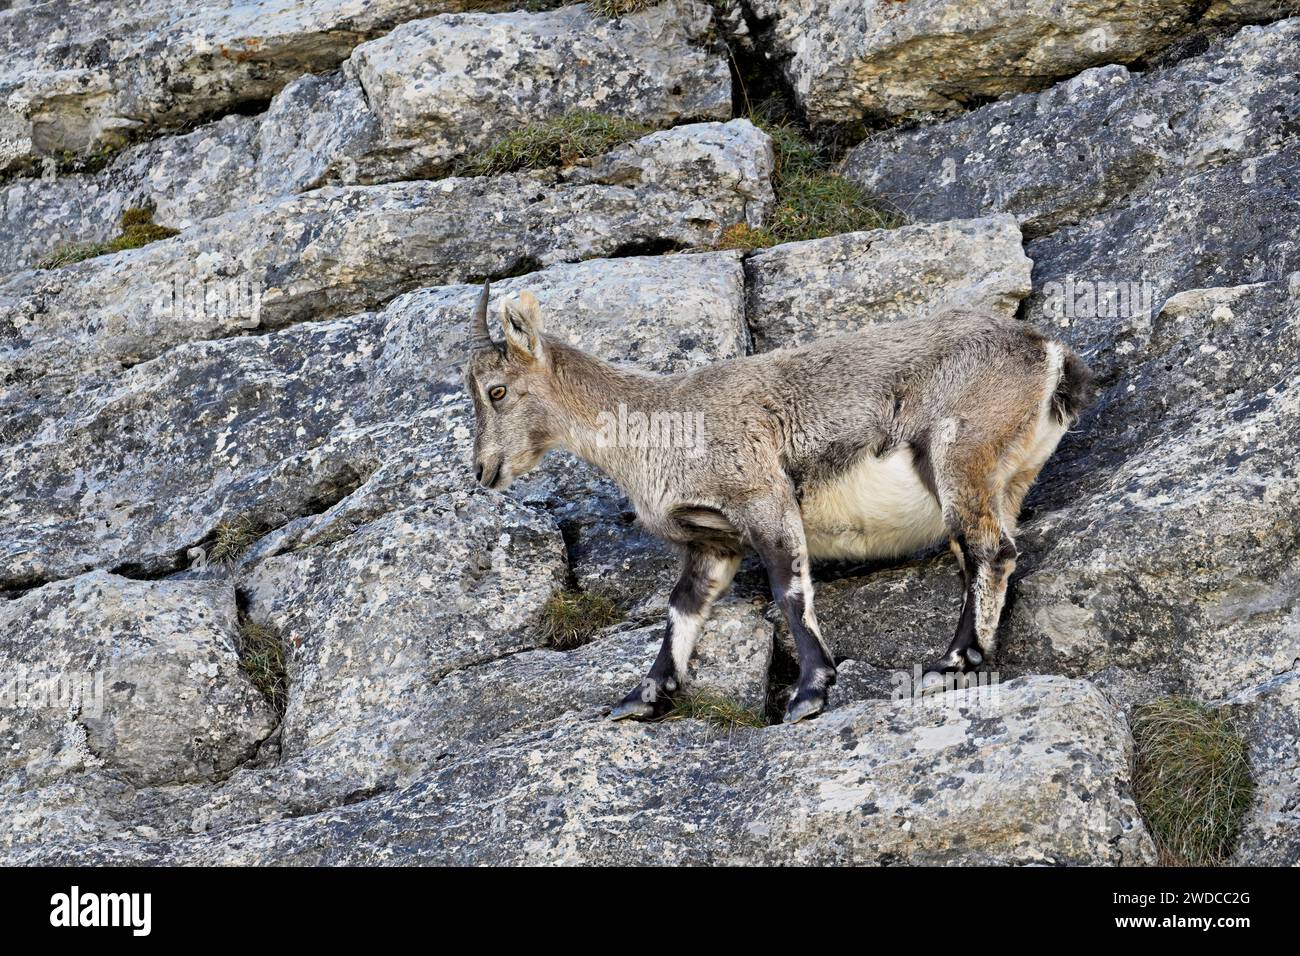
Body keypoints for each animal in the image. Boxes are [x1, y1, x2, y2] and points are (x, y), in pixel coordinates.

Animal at [463, 281, 1092, 723]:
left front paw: (810, 691)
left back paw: (954, 661)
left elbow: (789, 588)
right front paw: (642, 697)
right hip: (1005, 479)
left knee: (991, 551)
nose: (482, 471)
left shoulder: (763, 497)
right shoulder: (714, 542)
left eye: (497, 391)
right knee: (989, 552)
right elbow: (681, 608)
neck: (656, 423)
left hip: (958, 456)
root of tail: (1048, 353)